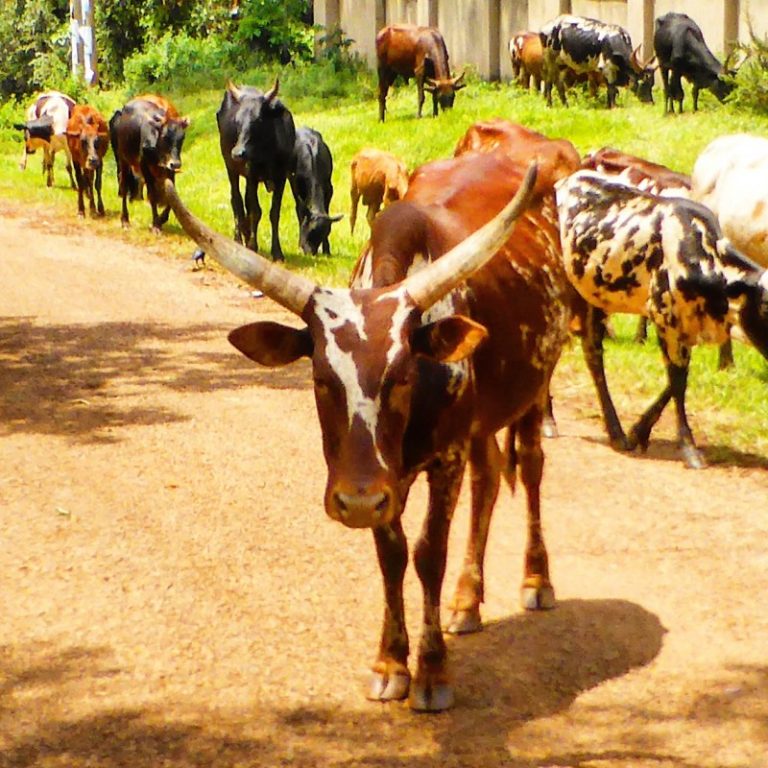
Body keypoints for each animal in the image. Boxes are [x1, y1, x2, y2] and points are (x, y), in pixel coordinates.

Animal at [111, 94, 189, 232]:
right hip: (123, 160)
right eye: (164, 136)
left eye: (182, 138)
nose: (176, 164)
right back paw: (125, 220)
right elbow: (152, 194)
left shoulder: (169, 169)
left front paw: (161, 219)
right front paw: (156, 224)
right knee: (124, 186)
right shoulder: (144, 165)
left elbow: (171, 196)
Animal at [162, 150, 572, 712]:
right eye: (319, 377)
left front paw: (432, 673)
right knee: (489, 476)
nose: (355, 503)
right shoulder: (385, 481)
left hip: (534, 386)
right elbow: (391, 555)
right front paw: (391, 663)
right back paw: (467, 602)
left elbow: (427, 554)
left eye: (402, 375)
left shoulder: (443, 459)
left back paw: (536, 580)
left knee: (529, 467)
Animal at [217, 79, 296, 261]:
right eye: (237, 121)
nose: (238, 153)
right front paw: (252, 245)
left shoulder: (282, 177)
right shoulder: (251, 174)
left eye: (258, 120)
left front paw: (277, 251)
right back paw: (239, 238)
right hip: (231, 169)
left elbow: (274, 213)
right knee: (236, 200)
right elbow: (255, 211)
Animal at [290, 126, 342, 255]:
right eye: (309, 230)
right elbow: (300, 212)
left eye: (325, 232)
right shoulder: (297, 189)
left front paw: (326, 250)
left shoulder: (329, 189)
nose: (310, 252)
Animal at [555, 169, 768, 469]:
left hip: (592, 298)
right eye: (767, 307)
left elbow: (674, 380)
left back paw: (616, 432)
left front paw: (638, 431)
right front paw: (689, 448)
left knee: (593, 354)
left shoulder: (688, 327)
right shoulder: (664, 316)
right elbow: (678, 382)